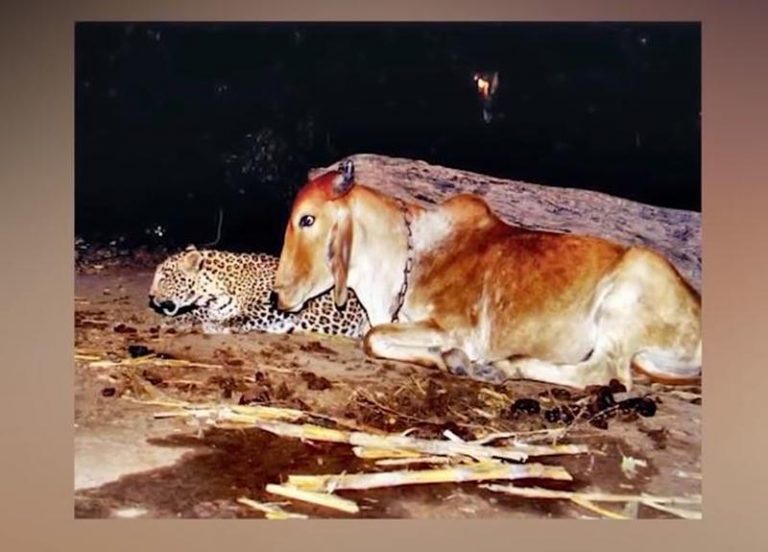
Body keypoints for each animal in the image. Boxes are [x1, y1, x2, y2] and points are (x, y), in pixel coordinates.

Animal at [148, 245, 370, 337]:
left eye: (164, 277)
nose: (150, 296)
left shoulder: (280, 303)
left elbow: (248, 314)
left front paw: (220, 325)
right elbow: (198, 311)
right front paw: (179, 319)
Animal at [272, 160, 702, 390]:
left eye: (307, 219)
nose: (277, 296)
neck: (411, 256)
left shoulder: (457, 327)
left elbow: (373, 337)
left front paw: (458, 360)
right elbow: (376, 336)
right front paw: (450, 360)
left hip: (626, 294)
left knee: (602, 374)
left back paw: (508, 366)